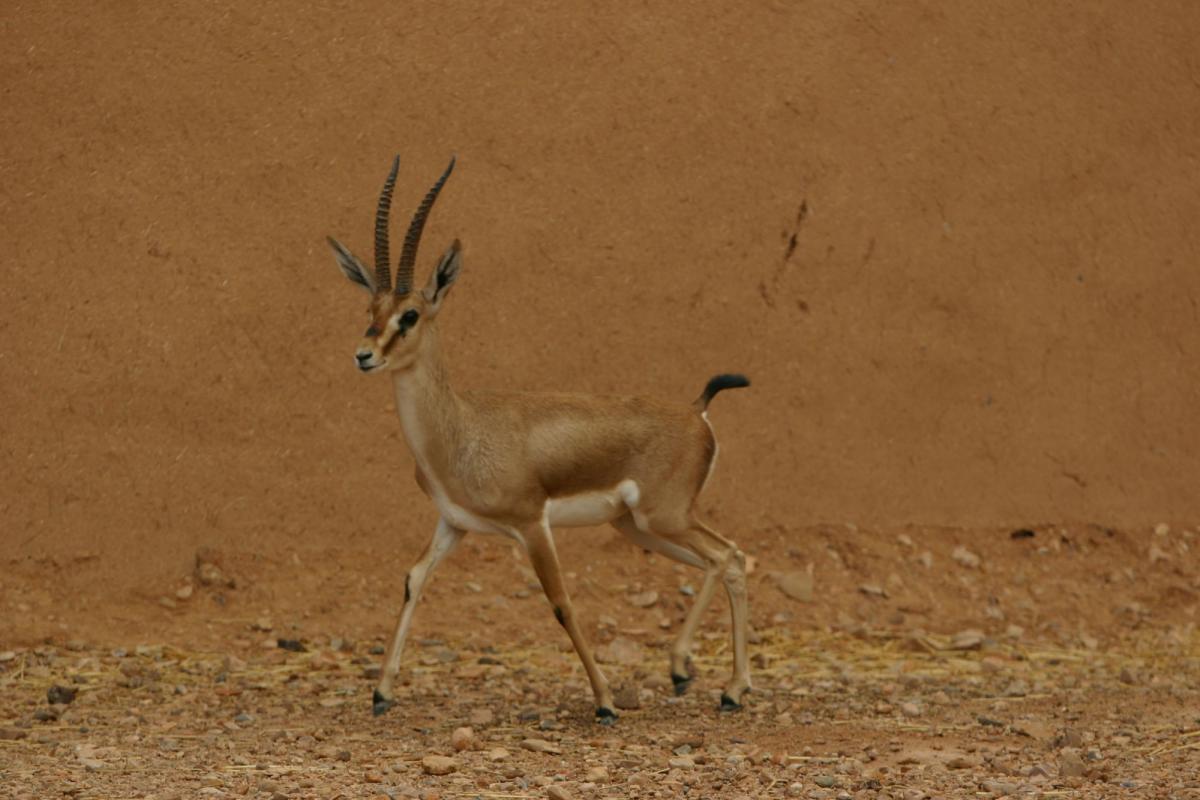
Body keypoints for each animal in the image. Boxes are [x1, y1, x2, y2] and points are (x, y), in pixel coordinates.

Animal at [326, 156, 752, 722]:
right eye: (369, 311)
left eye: (409, 315)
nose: (363, 355)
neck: (460, 429)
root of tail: (696, 411)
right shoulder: (453, 523)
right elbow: (414, 578)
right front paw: (381, 693)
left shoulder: (531, 525)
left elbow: (560, 602)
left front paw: (605, 701)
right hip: (638, 526)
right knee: (717, 561)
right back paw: (690, 674)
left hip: (665, 517)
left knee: (729, 556)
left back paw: (729, 688)